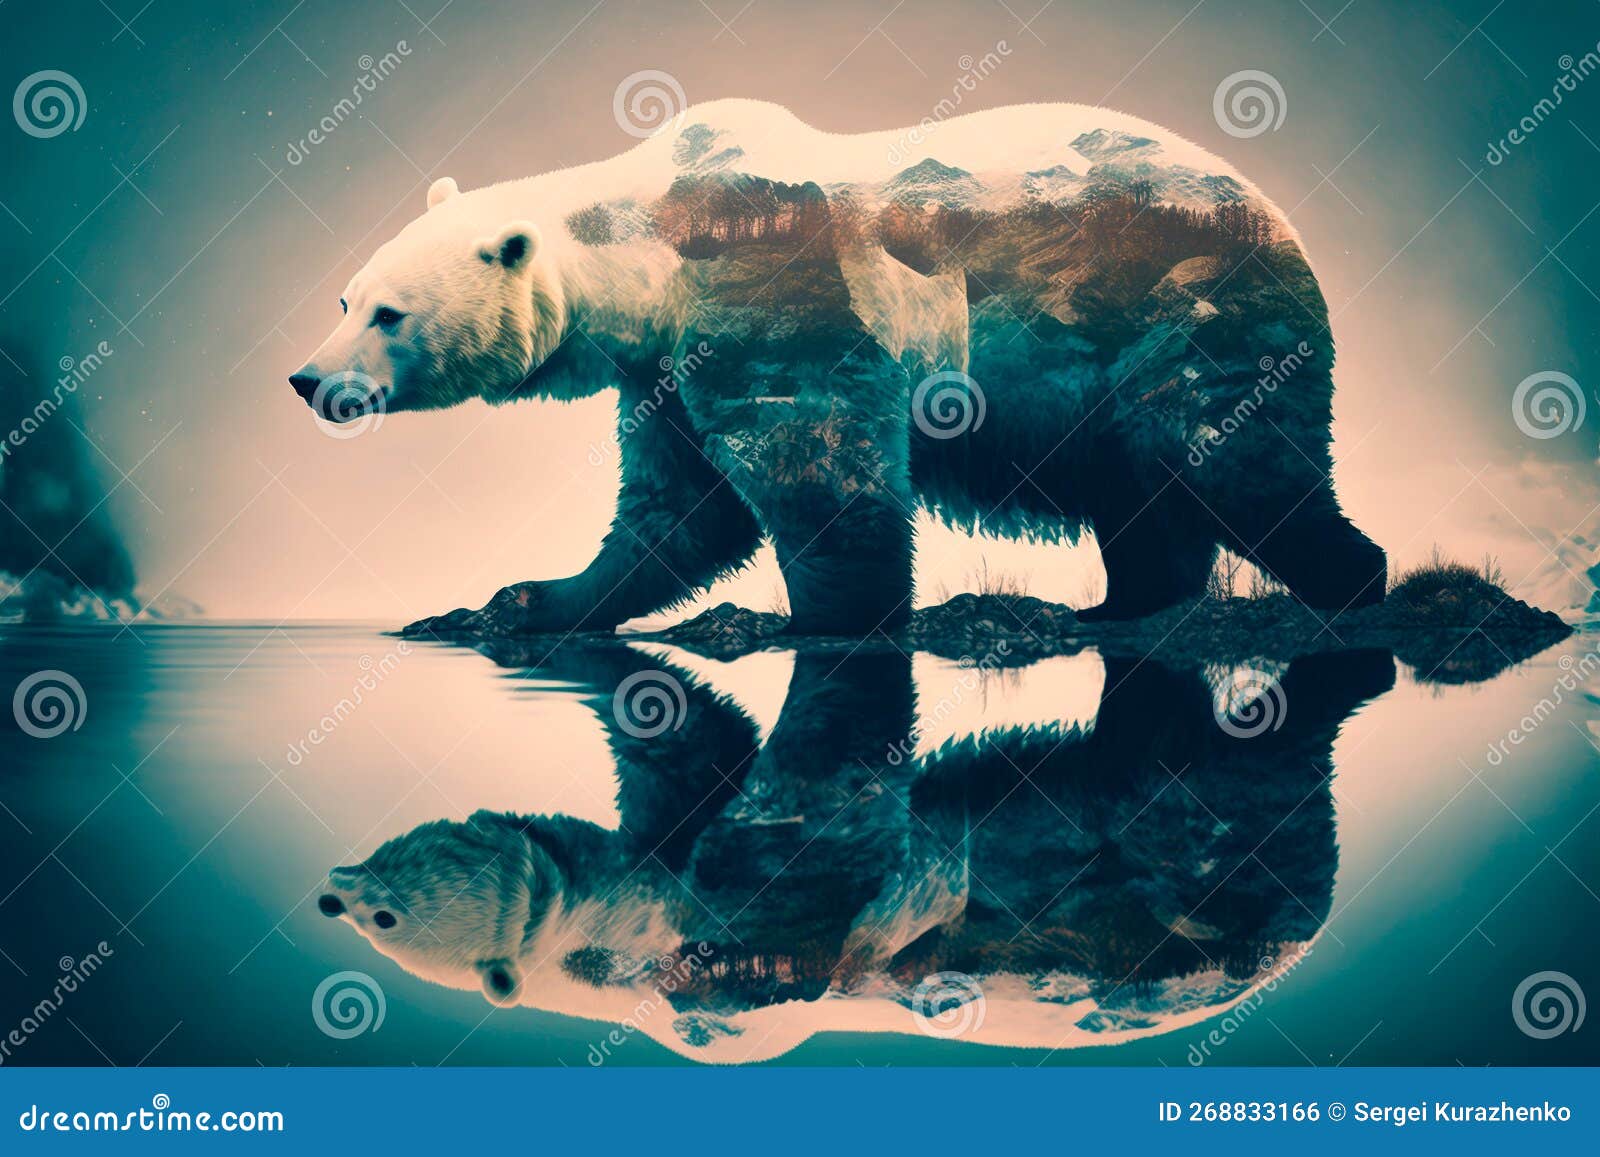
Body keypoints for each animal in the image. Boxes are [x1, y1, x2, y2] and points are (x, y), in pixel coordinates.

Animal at [287, 99, 1386, 635]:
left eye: (387, 312)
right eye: (344, 298)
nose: (307, 381)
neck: (651, 247)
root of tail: (1279, 220)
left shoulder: (775, 290)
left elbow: (817, 470)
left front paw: (832, 619)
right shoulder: (666, 366)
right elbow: (677, 508)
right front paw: (533, 597)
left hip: (1178, 310)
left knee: (1230, 460)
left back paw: (1350, 578)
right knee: (1142, 489)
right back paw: (1124, 602)